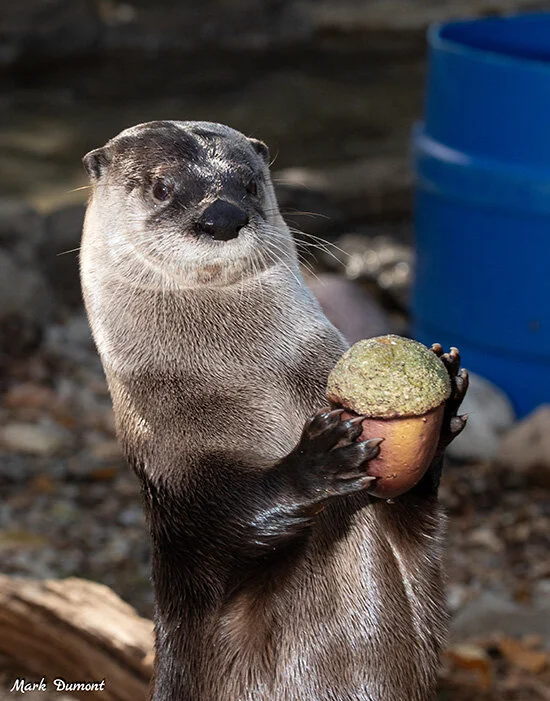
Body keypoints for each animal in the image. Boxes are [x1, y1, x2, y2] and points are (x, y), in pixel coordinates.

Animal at [80, 120, 468, 701]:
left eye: (248, 182)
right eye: (162, 187)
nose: (222, 217)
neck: (252, 385)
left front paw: (444, 403)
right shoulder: (177, 483)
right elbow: (226, 527)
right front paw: (316, 461)